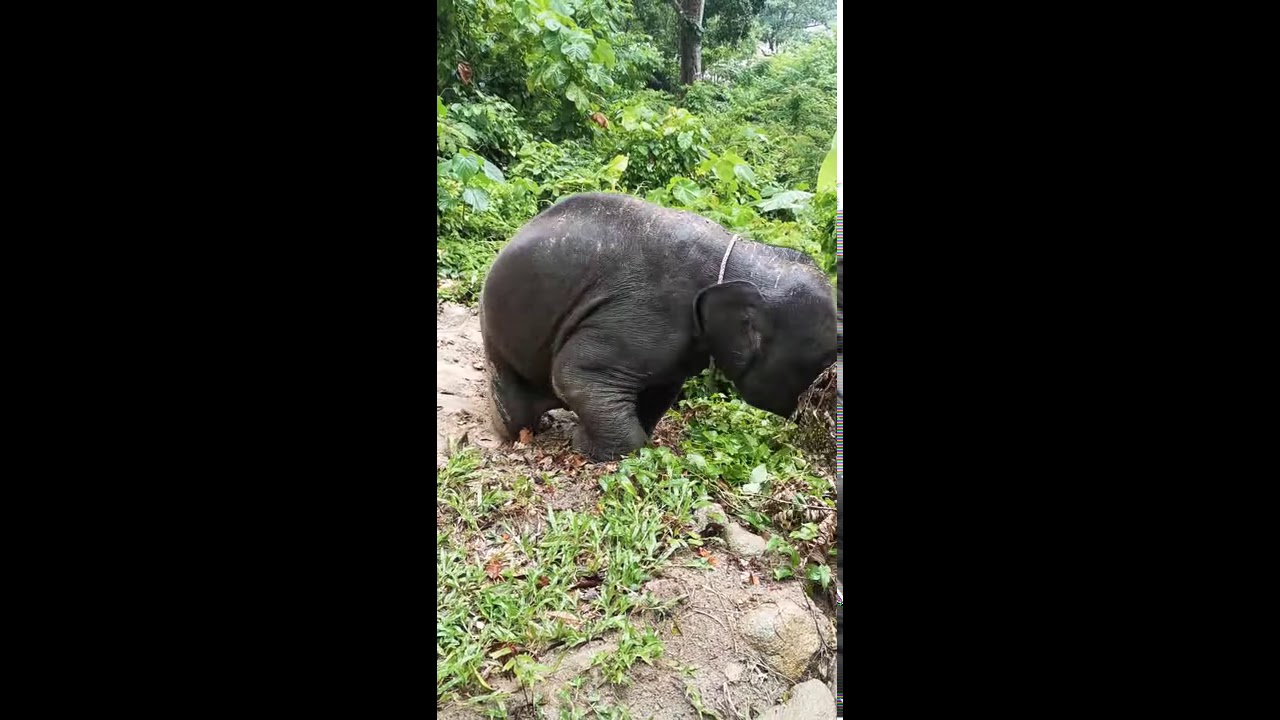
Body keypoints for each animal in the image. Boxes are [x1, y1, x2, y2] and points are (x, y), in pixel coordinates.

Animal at [479, 192, 837, 462]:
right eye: (824, 369)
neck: (741, 254)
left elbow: (660, 391)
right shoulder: (643, 310)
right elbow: (574, 373)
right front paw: (583, 444)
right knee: (515, 410)